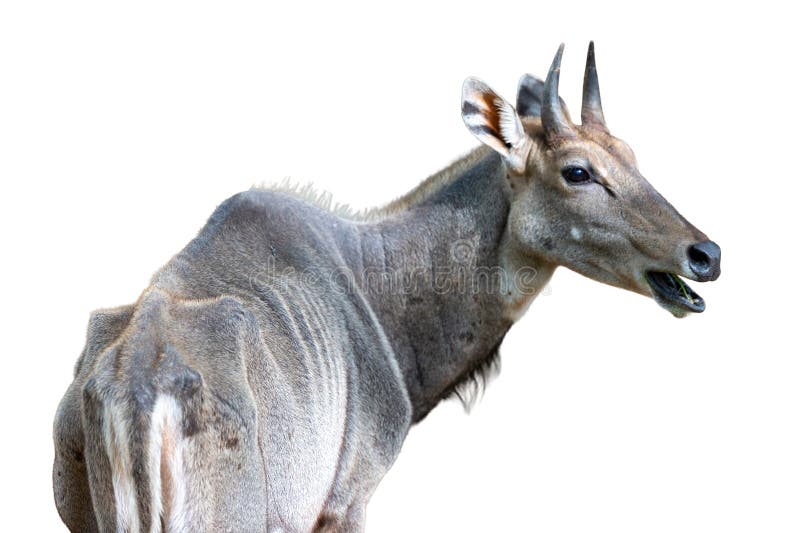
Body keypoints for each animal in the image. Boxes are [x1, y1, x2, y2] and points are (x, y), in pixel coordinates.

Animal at [53, 43, 721, 532]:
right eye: (577, 171)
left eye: (630, 154)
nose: (705, 254)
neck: (375, 282)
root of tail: (137, 388)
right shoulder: (345, 501)